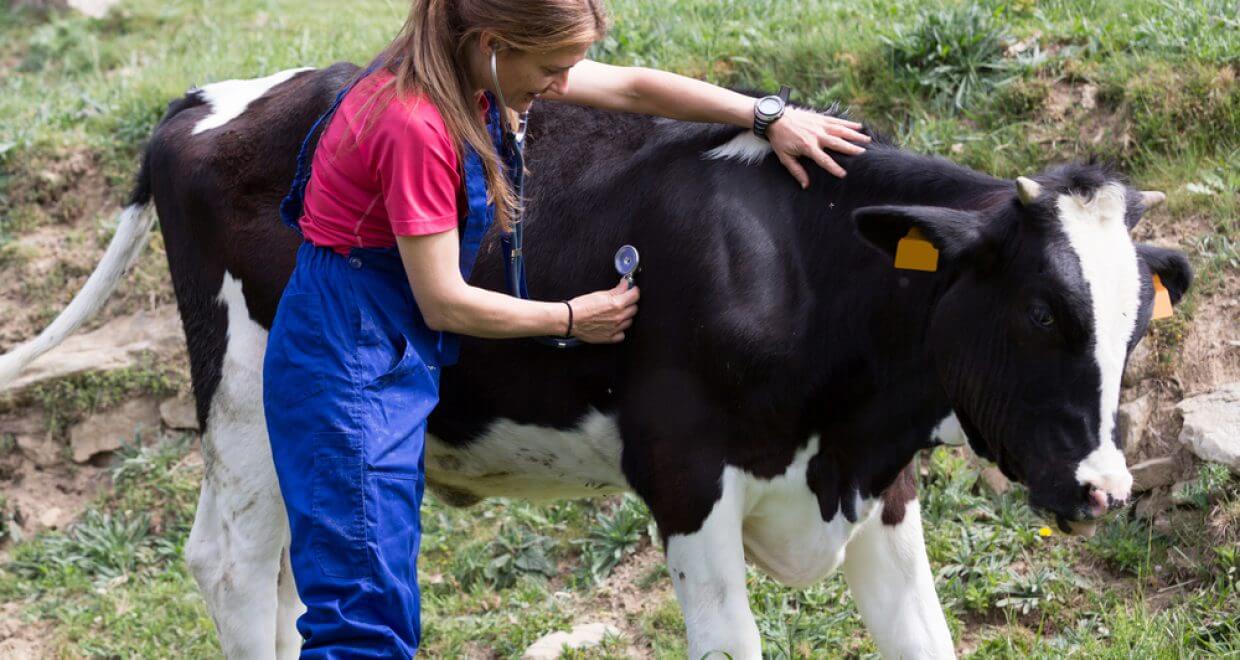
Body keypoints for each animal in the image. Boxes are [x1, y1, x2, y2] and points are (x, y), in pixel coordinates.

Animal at [0, 61, 1192, 659]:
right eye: (1039, 313)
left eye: (1135, 327)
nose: (1104, 488)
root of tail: (206, 101)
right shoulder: (684, 479)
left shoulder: (878, 484)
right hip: (247, 395)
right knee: (236, 565)